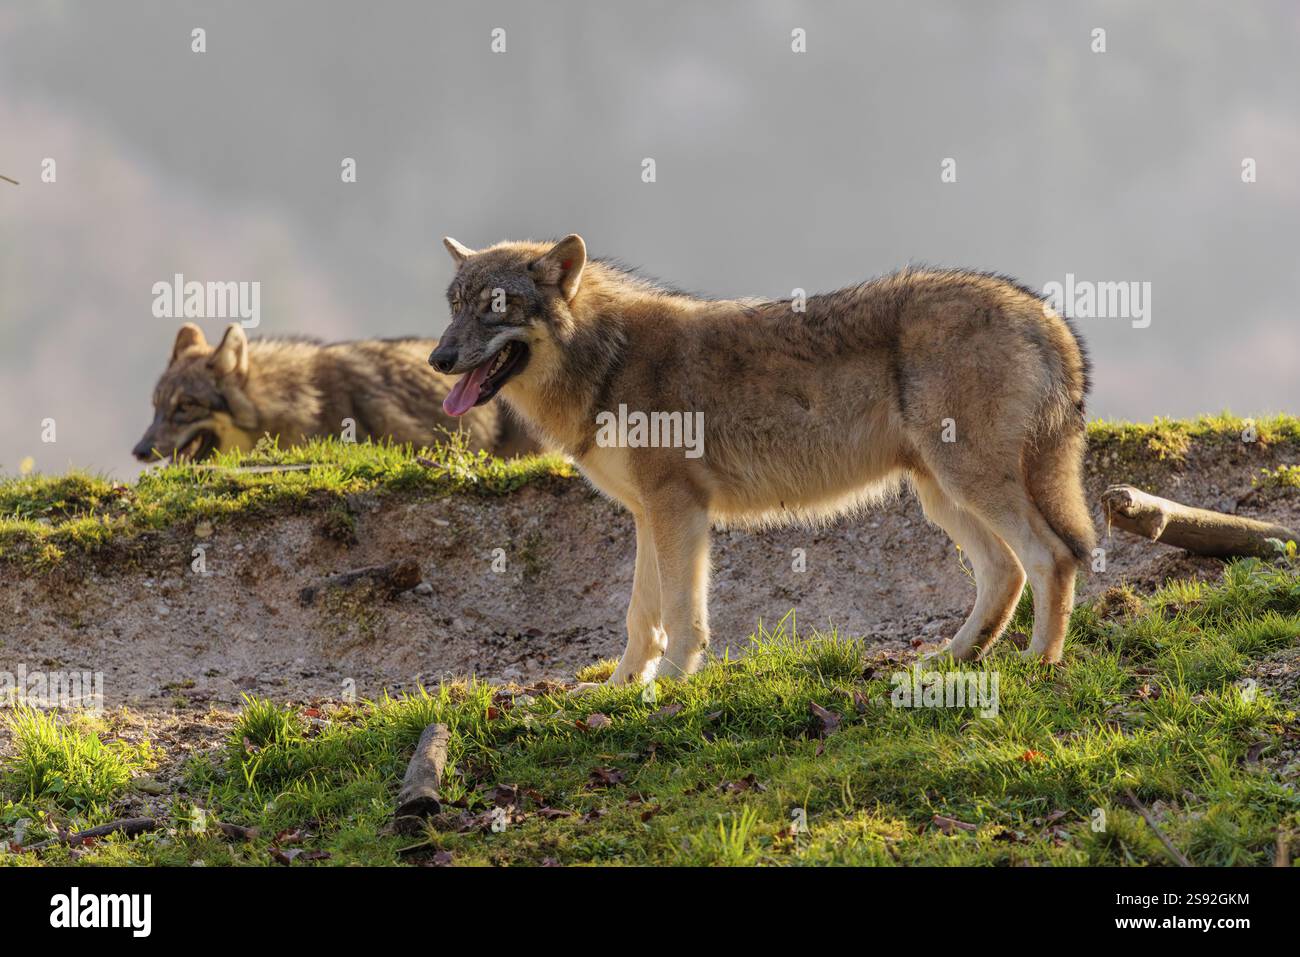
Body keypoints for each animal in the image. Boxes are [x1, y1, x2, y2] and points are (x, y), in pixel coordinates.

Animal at [431, 235, 1096, 682]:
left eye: (495, 305)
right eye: (454, 304)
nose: (439, 358)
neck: (608, 360)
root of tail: (1045, 313)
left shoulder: (679, 509)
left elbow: (681, 612)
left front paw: (670, 686)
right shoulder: (648, 514)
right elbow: (639, 617)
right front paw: (619, 689)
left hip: (969, 484)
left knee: (1052, 557)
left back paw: (1039, 664)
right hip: (941, 495)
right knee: (1005, 572)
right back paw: (951, 660)